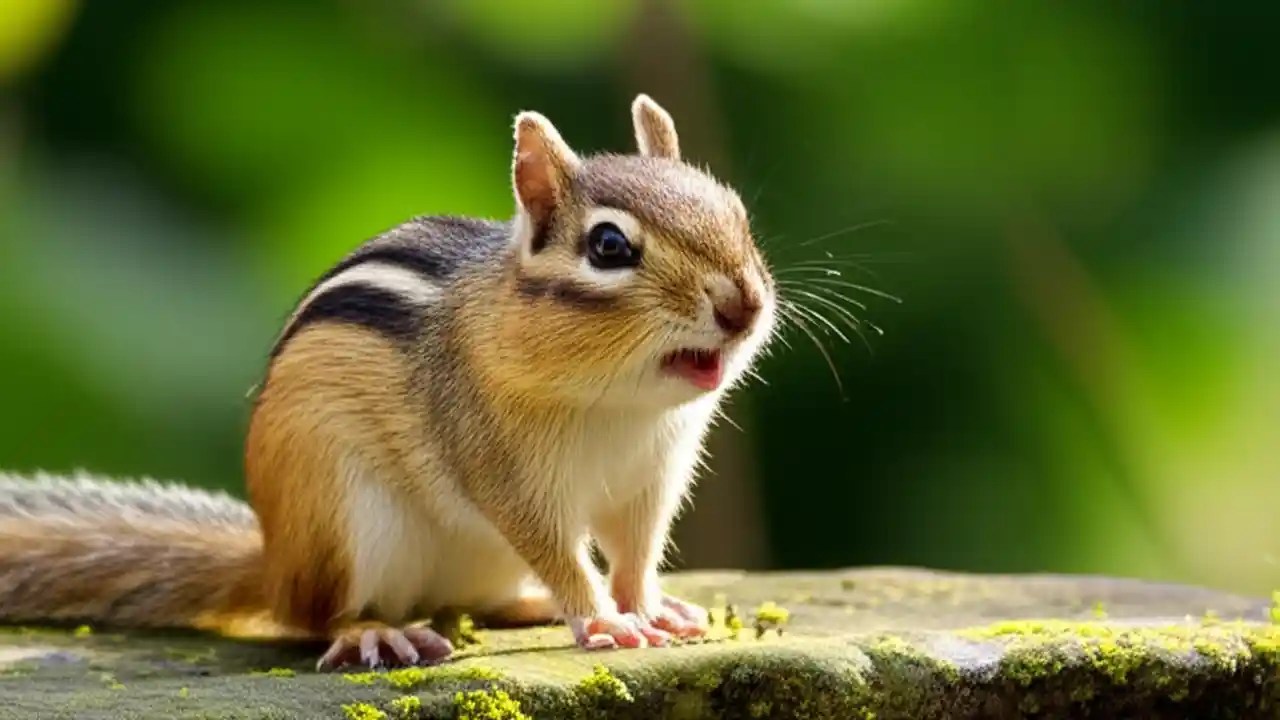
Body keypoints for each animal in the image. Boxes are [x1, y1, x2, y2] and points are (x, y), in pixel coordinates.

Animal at [0, 94, 777, 671]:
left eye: (736, 211)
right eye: (609, 246)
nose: (743, 304)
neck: (620, 403)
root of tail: (273, 560)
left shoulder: (654, 475)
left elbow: (636, 553)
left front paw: (648, 606)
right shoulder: (503, 467)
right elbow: (562, 552)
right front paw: (602, 621)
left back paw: (526, 602)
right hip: (344, 522)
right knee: (314, 616)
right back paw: (374, 631)